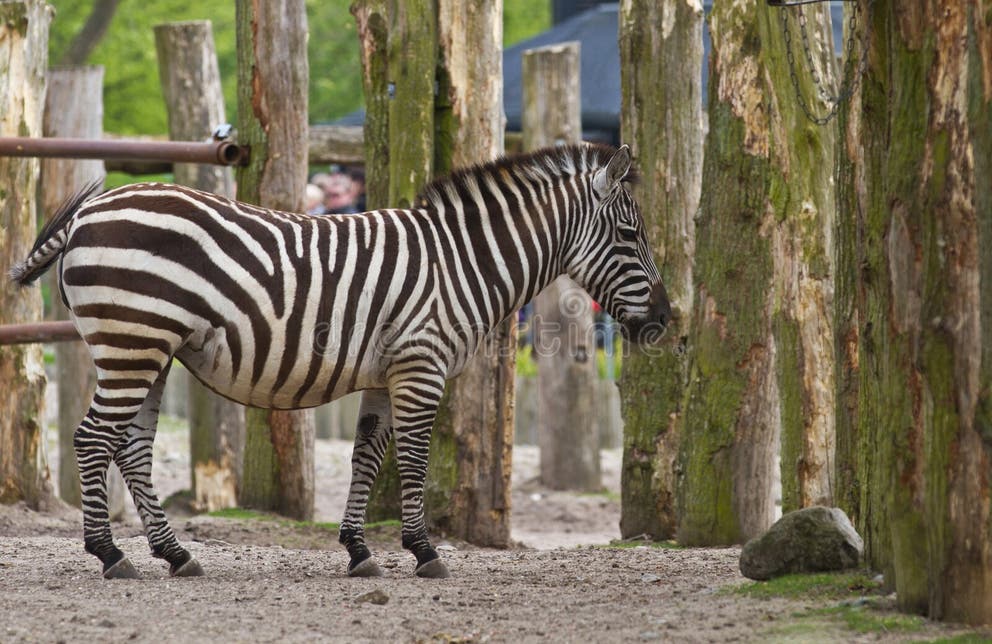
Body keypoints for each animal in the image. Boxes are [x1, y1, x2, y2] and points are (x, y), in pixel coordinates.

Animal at [10, 143, 671, 580]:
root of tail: (87, 214)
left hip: (149, 350)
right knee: (94, 439)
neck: (461, 262)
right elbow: (412, 460)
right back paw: (110, 555)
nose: (665, 321)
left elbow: (366, 457)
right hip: (132, 342)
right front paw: (424, 551)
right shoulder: (422, 365)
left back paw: (175, 555)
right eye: (631, 237)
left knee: (131, 447)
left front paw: (359, 550)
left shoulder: (387, 373)